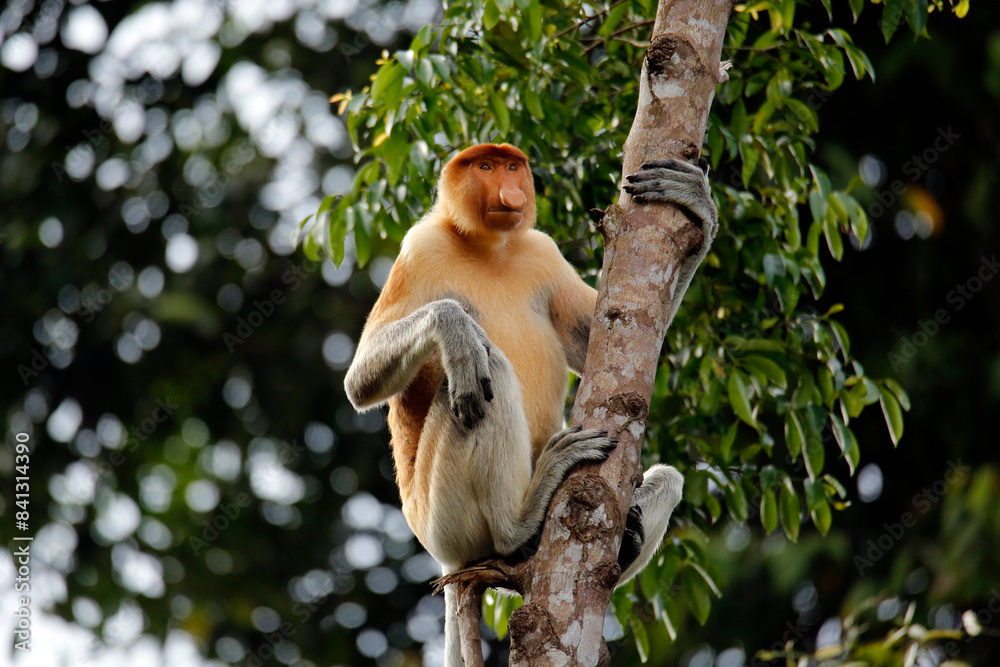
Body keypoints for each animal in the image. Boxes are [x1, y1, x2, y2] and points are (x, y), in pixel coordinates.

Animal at [344, 143, 718, 665]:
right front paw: (455, 328)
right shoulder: (421, 247)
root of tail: (449, 561)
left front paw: (696, 201)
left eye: (512, 166)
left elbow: (615, 330)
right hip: (444, 521)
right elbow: (359, 383)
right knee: (485, 375)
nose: (511, 192)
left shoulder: (544, 252)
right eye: (484, 167)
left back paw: (621, 541)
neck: (492, 250)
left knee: (669, 478)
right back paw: (520, 528)